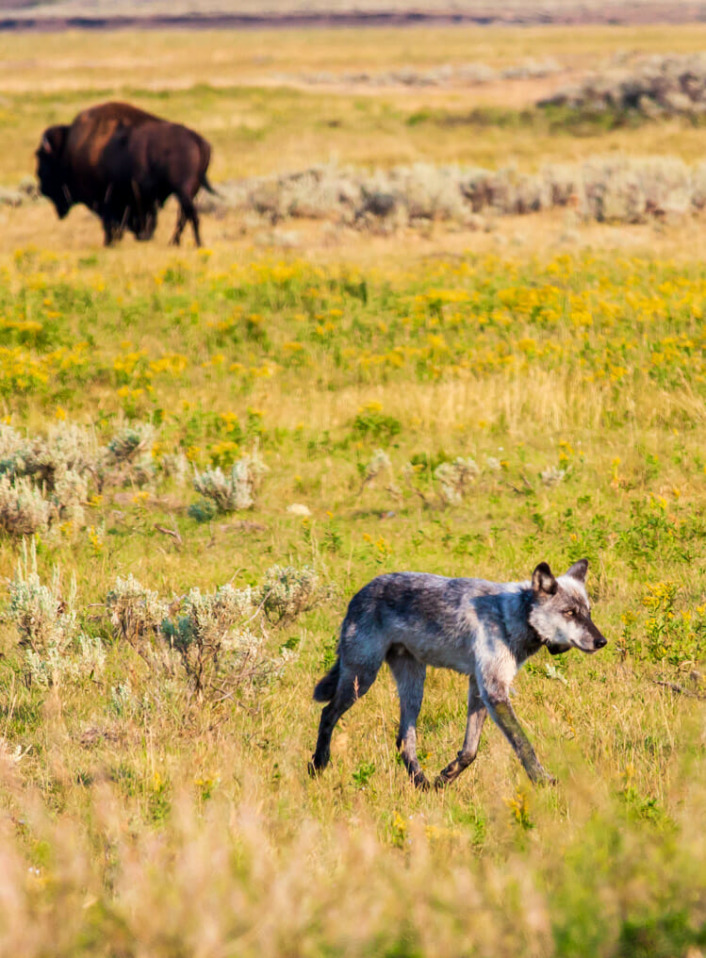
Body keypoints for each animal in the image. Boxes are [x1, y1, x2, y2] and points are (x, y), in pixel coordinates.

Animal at [310, 559, 606, 787]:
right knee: (327, 713)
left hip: (413, 687)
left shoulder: (479, 687)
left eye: (588, 613)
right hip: (362, 679)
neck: (512, 615)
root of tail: (360, 592)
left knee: (404, 739)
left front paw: (446, 777)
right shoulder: (493, 690)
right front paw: (543, 781)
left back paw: (422, 784)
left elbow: (470, 751)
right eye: (570, 612)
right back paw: (318, 764)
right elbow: (523, 744)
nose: (601, 641)